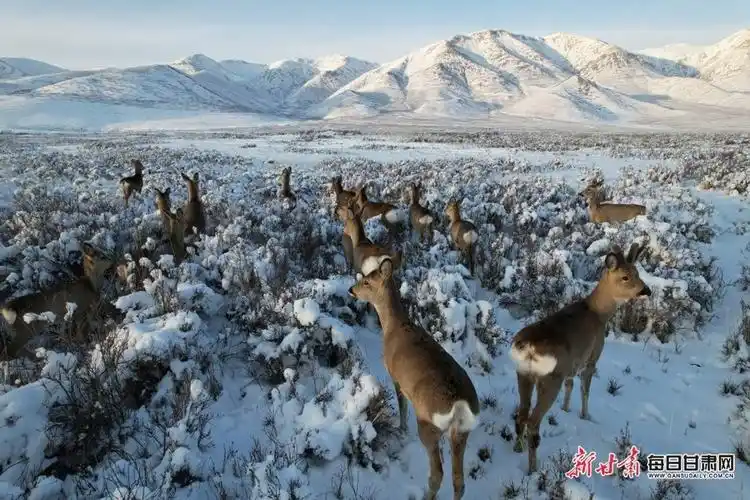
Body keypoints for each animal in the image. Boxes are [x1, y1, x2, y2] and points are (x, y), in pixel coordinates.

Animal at [348, 258, 480, 500]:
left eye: (368, 281)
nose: (351, 290)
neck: (394, 326)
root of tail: (459, 405)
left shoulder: (396, 377)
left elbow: (401, 405)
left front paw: (401, 429)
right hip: (462, 432)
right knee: (459, 480)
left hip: (428, 424)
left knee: (437, 473)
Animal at [509, 242, 651, 473]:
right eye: (625, 277)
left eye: (637, 272)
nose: (646, 290)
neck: (599, 313)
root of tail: (528, 348)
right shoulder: (592, 357)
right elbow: (585, 390)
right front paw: (585, 416)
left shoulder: (572, 365)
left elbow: (571, 385)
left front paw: (566, 409)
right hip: (550, 379)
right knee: (533, 421)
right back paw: (533, 468)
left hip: (523, 374)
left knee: (521, 413)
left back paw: (517, 448)